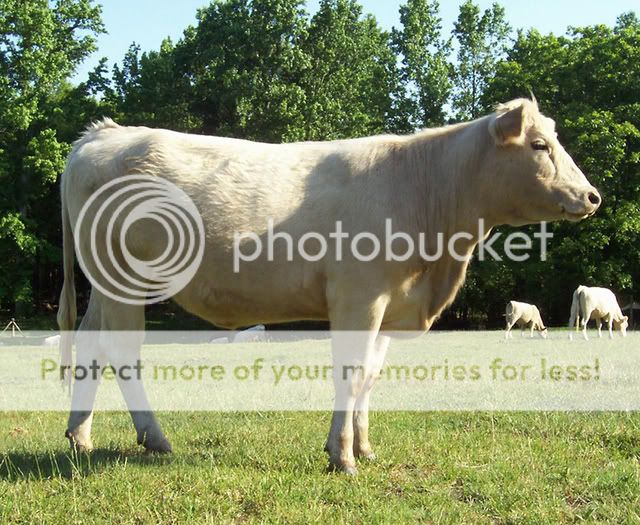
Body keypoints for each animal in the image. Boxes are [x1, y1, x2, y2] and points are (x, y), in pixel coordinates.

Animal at [58, 98, 600, 474]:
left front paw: (364, 446)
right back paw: (154, 438)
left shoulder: (389, 305)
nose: (592, 196)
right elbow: (350, 373)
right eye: (539, 145)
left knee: (91, 347)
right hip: (122, 279)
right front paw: (342, 457)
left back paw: (80, 437)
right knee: (122, 352)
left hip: (102, 285)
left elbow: (370, 377)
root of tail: (103, 133)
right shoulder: (359, 298)